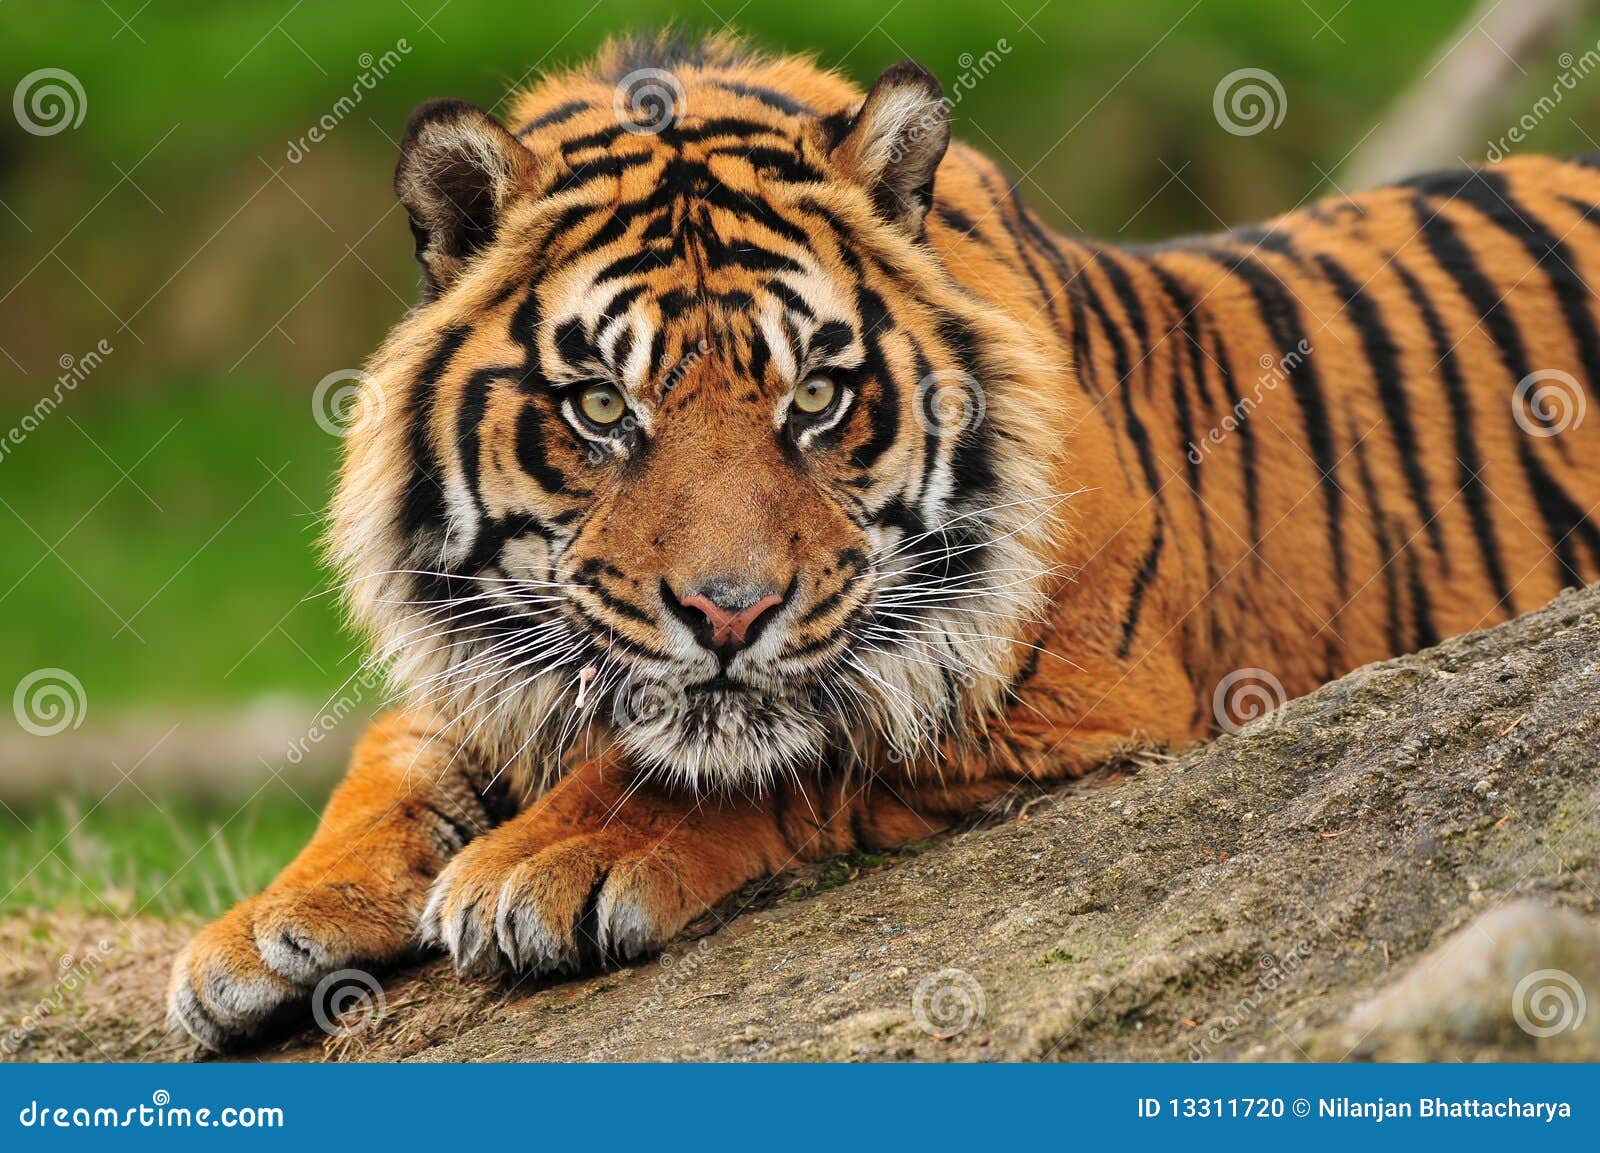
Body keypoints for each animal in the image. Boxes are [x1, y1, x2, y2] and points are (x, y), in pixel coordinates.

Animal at [168, 31, 1600, 1049]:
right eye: (601, 407)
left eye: (814, 395)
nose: (728, 612)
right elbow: (394, 756)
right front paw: (261, 928)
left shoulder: (1077, 697)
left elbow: (784, 751)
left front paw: (544, 860)